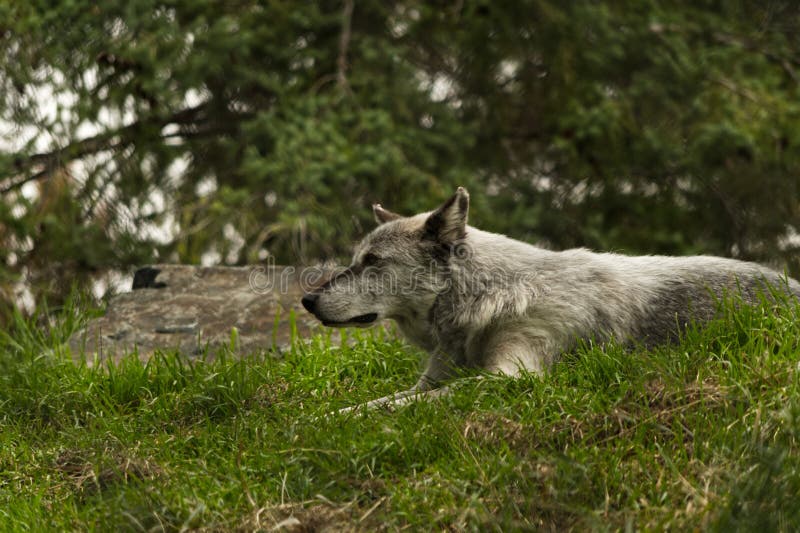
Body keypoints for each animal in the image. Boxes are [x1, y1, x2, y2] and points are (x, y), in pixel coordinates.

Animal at [301, 187, 800, 412]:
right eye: (356, 259)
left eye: (372, 262)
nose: (306, 300)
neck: (488, 298)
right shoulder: (430, 381)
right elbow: (371, 404)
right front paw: (325, 416)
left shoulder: (510, 378)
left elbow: (399, 406)